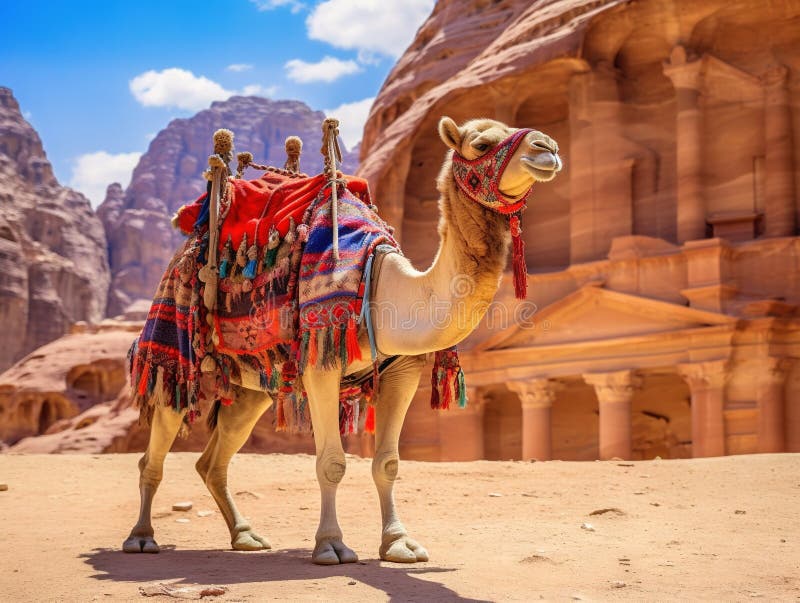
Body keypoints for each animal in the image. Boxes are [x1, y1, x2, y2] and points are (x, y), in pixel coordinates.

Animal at [123, 116, 561, 564]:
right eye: (481, 144)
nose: (548, 147)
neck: (383, 284)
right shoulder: (321, 360)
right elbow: (331, 462)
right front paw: (331, 545)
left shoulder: (402, 368)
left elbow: (388, 463)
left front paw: (399, 543)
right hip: (173, 343)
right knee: (155, 447)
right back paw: (141, 538)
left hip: (252, 389)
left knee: (213, 461)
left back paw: (245, 536)